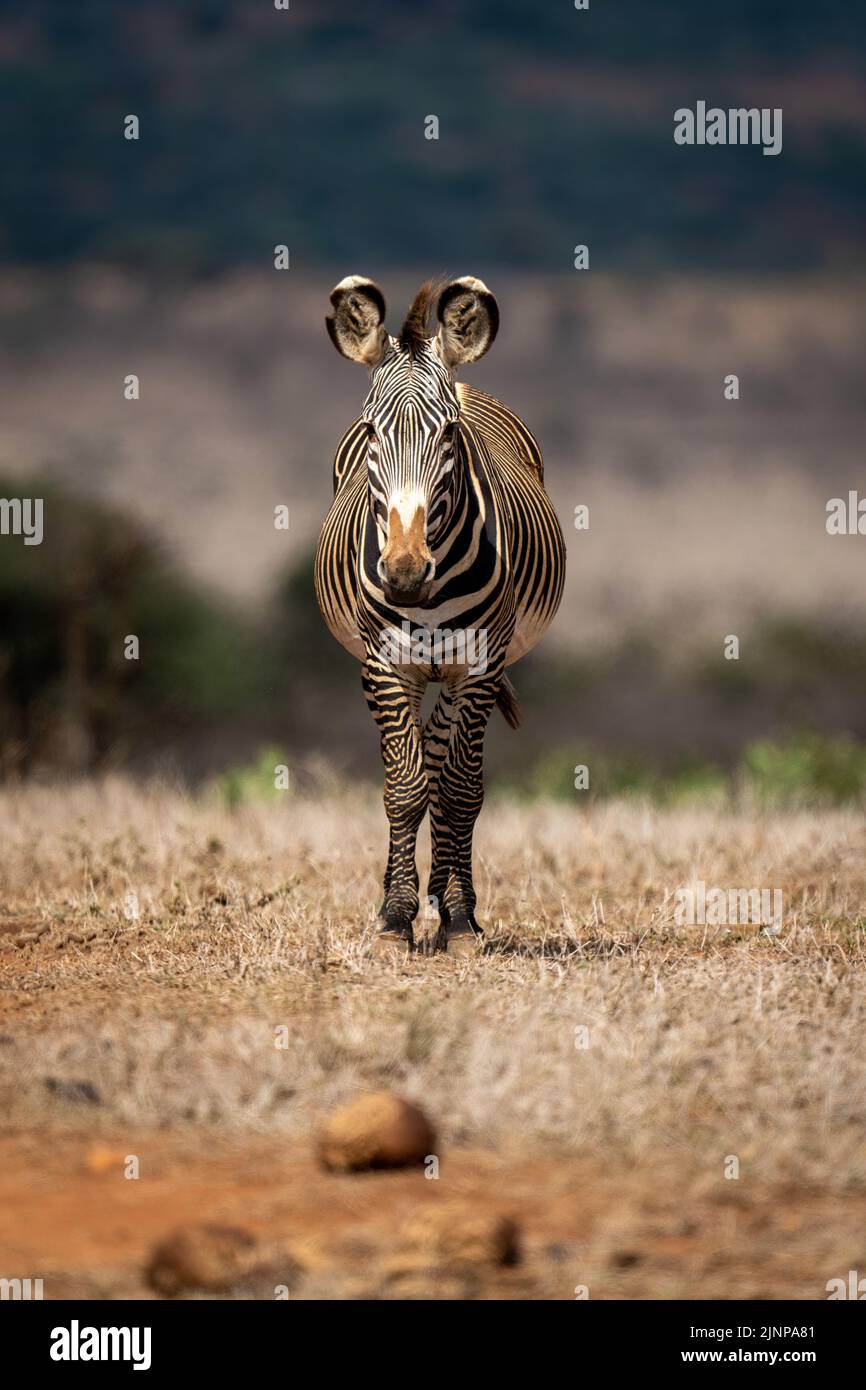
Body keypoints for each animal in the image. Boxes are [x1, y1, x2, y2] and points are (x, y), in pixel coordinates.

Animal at [315, 275, 565, 957]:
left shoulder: (477, 670)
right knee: (416, 769)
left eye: (449, 435)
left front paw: (456, 918)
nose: (404, 572)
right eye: (373, 433)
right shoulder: (385, 668)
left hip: (458, 676)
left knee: (448, 773)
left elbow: (459, 791)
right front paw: (395, 917)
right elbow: (404, 790)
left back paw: (451, 901)